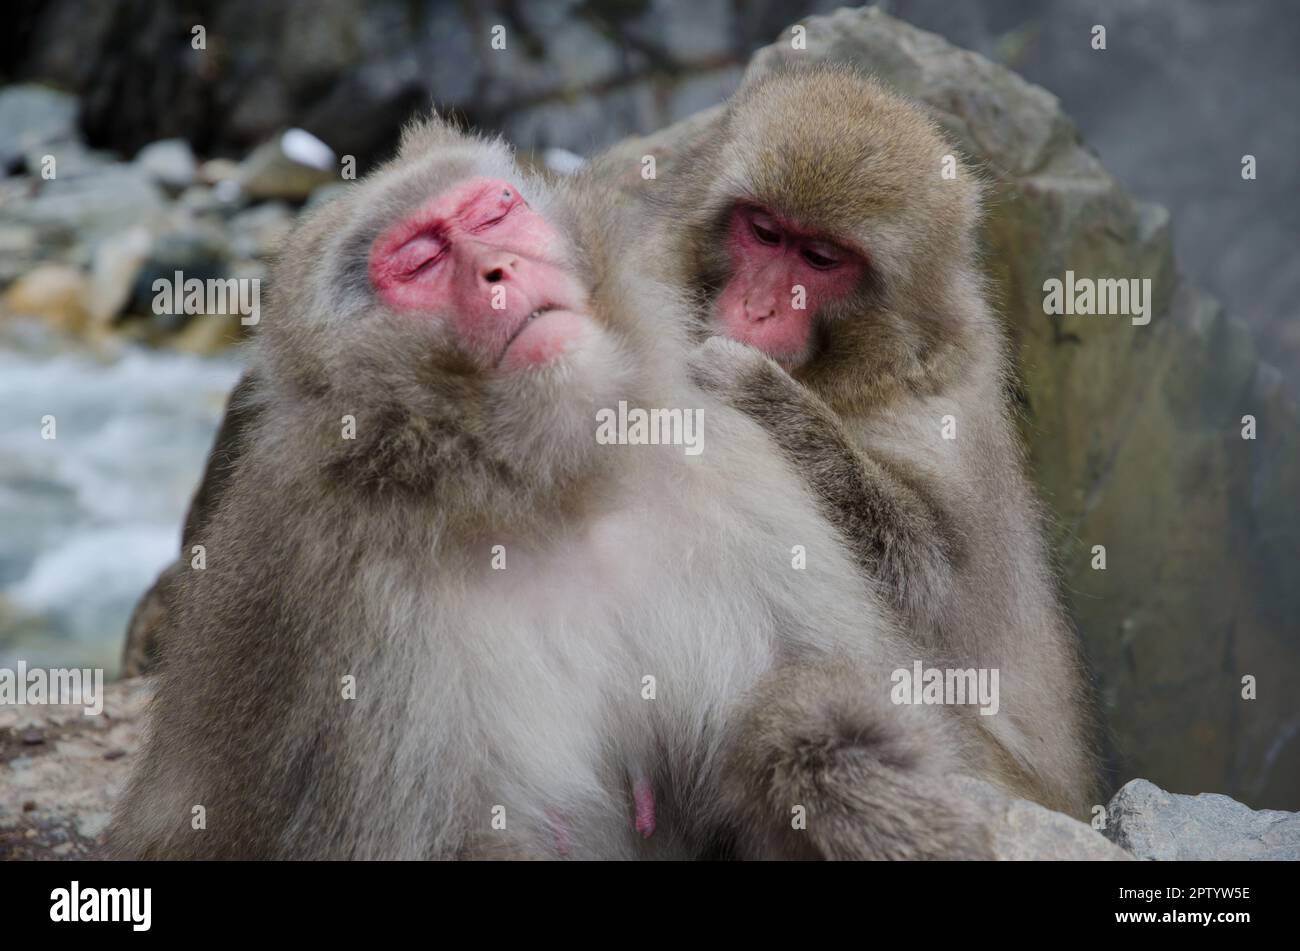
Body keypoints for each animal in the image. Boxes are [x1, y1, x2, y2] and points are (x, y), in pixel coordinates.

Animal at [108, 115, 994, 860]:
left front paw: (840, 769)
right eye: (422, 260)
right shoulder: (353, 613)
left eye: (493, 213)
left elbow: (836, 708)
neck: (560, 490)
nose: (500, 268)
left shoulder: (742, 472)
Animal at [616, 65, 1102, 818]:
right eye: (764, 231)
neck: (844, 373)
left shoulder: (947, 411)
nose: (756, 307)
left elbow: (926, 570)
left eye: (820, 258)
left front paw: (761, 392)